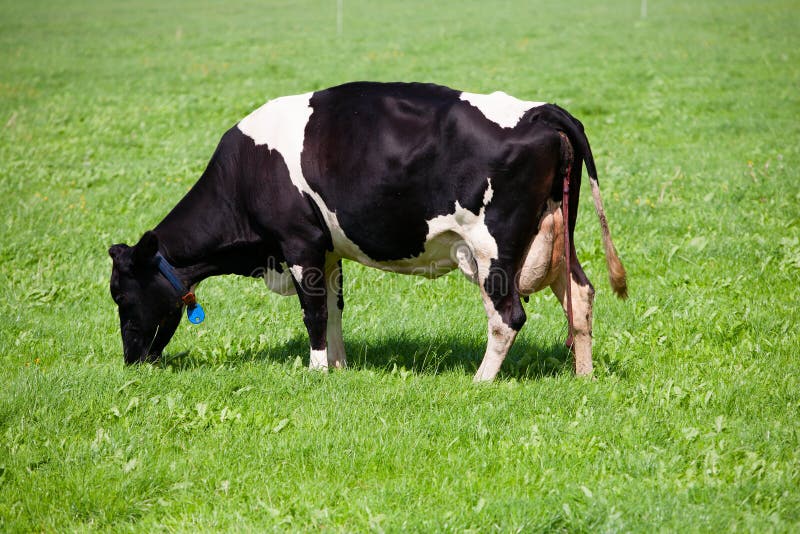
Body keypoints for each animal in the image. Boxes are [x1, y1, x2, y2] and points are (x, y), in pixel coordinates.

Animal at [108, 81, 627, 381]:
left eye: (121, 295)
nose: (132, 359)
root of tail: (540, 110)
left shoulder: (300, 243)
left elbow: (313, 313)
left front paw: (317, 373)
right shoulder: (328, 251)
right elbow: (335, 310)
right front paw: (339, 367)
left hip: (492, 247)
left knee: (507, 315)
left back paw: (480, 380)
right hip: (557, 236)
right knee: (580, 295)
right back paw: (583, 377)